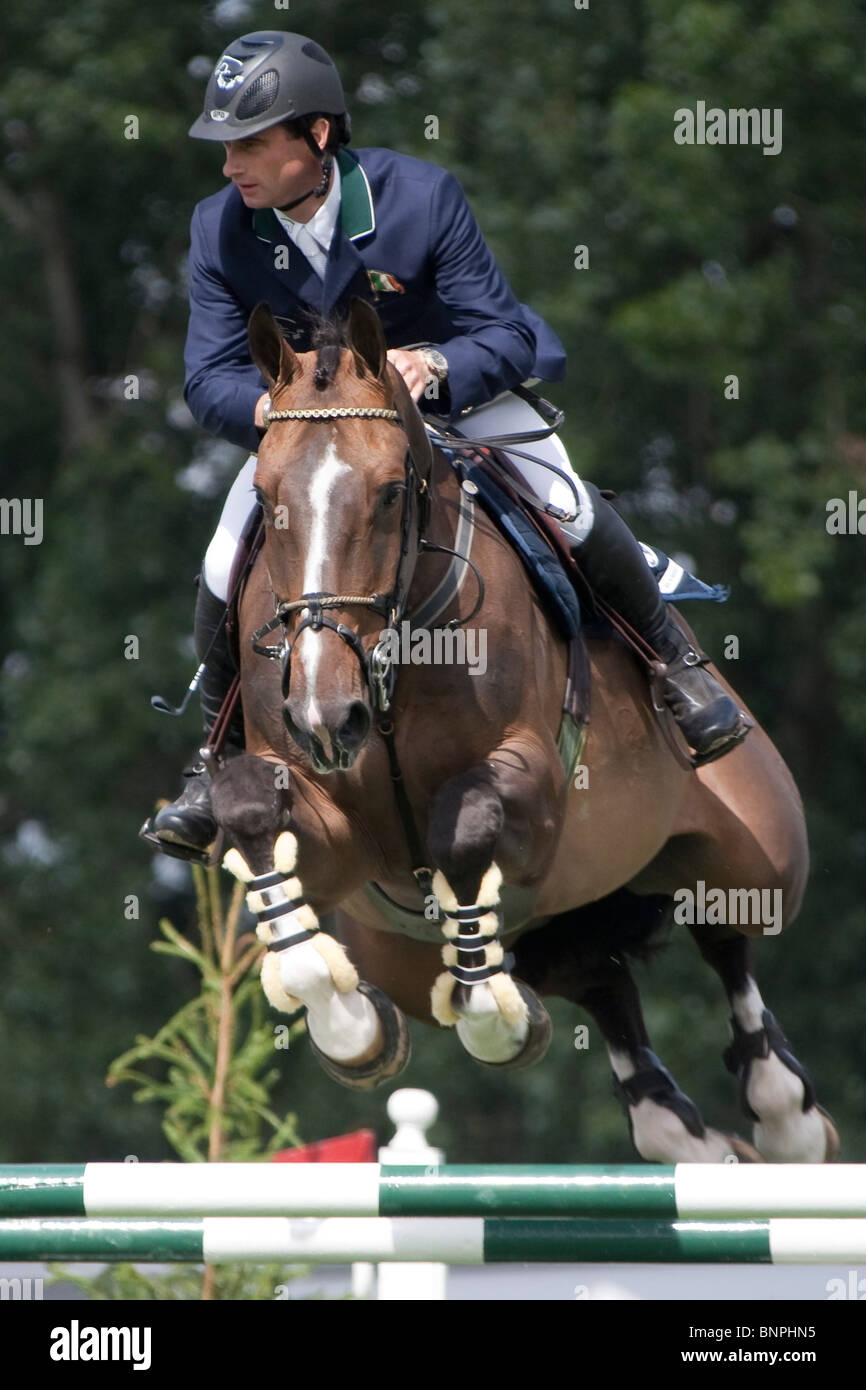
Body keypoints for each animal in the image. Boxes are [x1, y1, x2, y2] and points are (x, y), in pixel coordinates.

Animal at [210, 297, 838, 1164]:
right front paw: (352, 1024)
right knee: (600, 979)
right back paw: (680, 1130)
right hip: (517, 925)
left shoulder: (536, 789)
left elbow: (464, 826)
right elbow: (252, 821)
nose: (325, 716)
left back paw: (784, 1117)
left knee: (725, 935)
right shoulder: (329, 830)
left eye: (390, 495)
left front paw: (491, 1013)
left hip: (753, 853)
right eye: (269, 501)